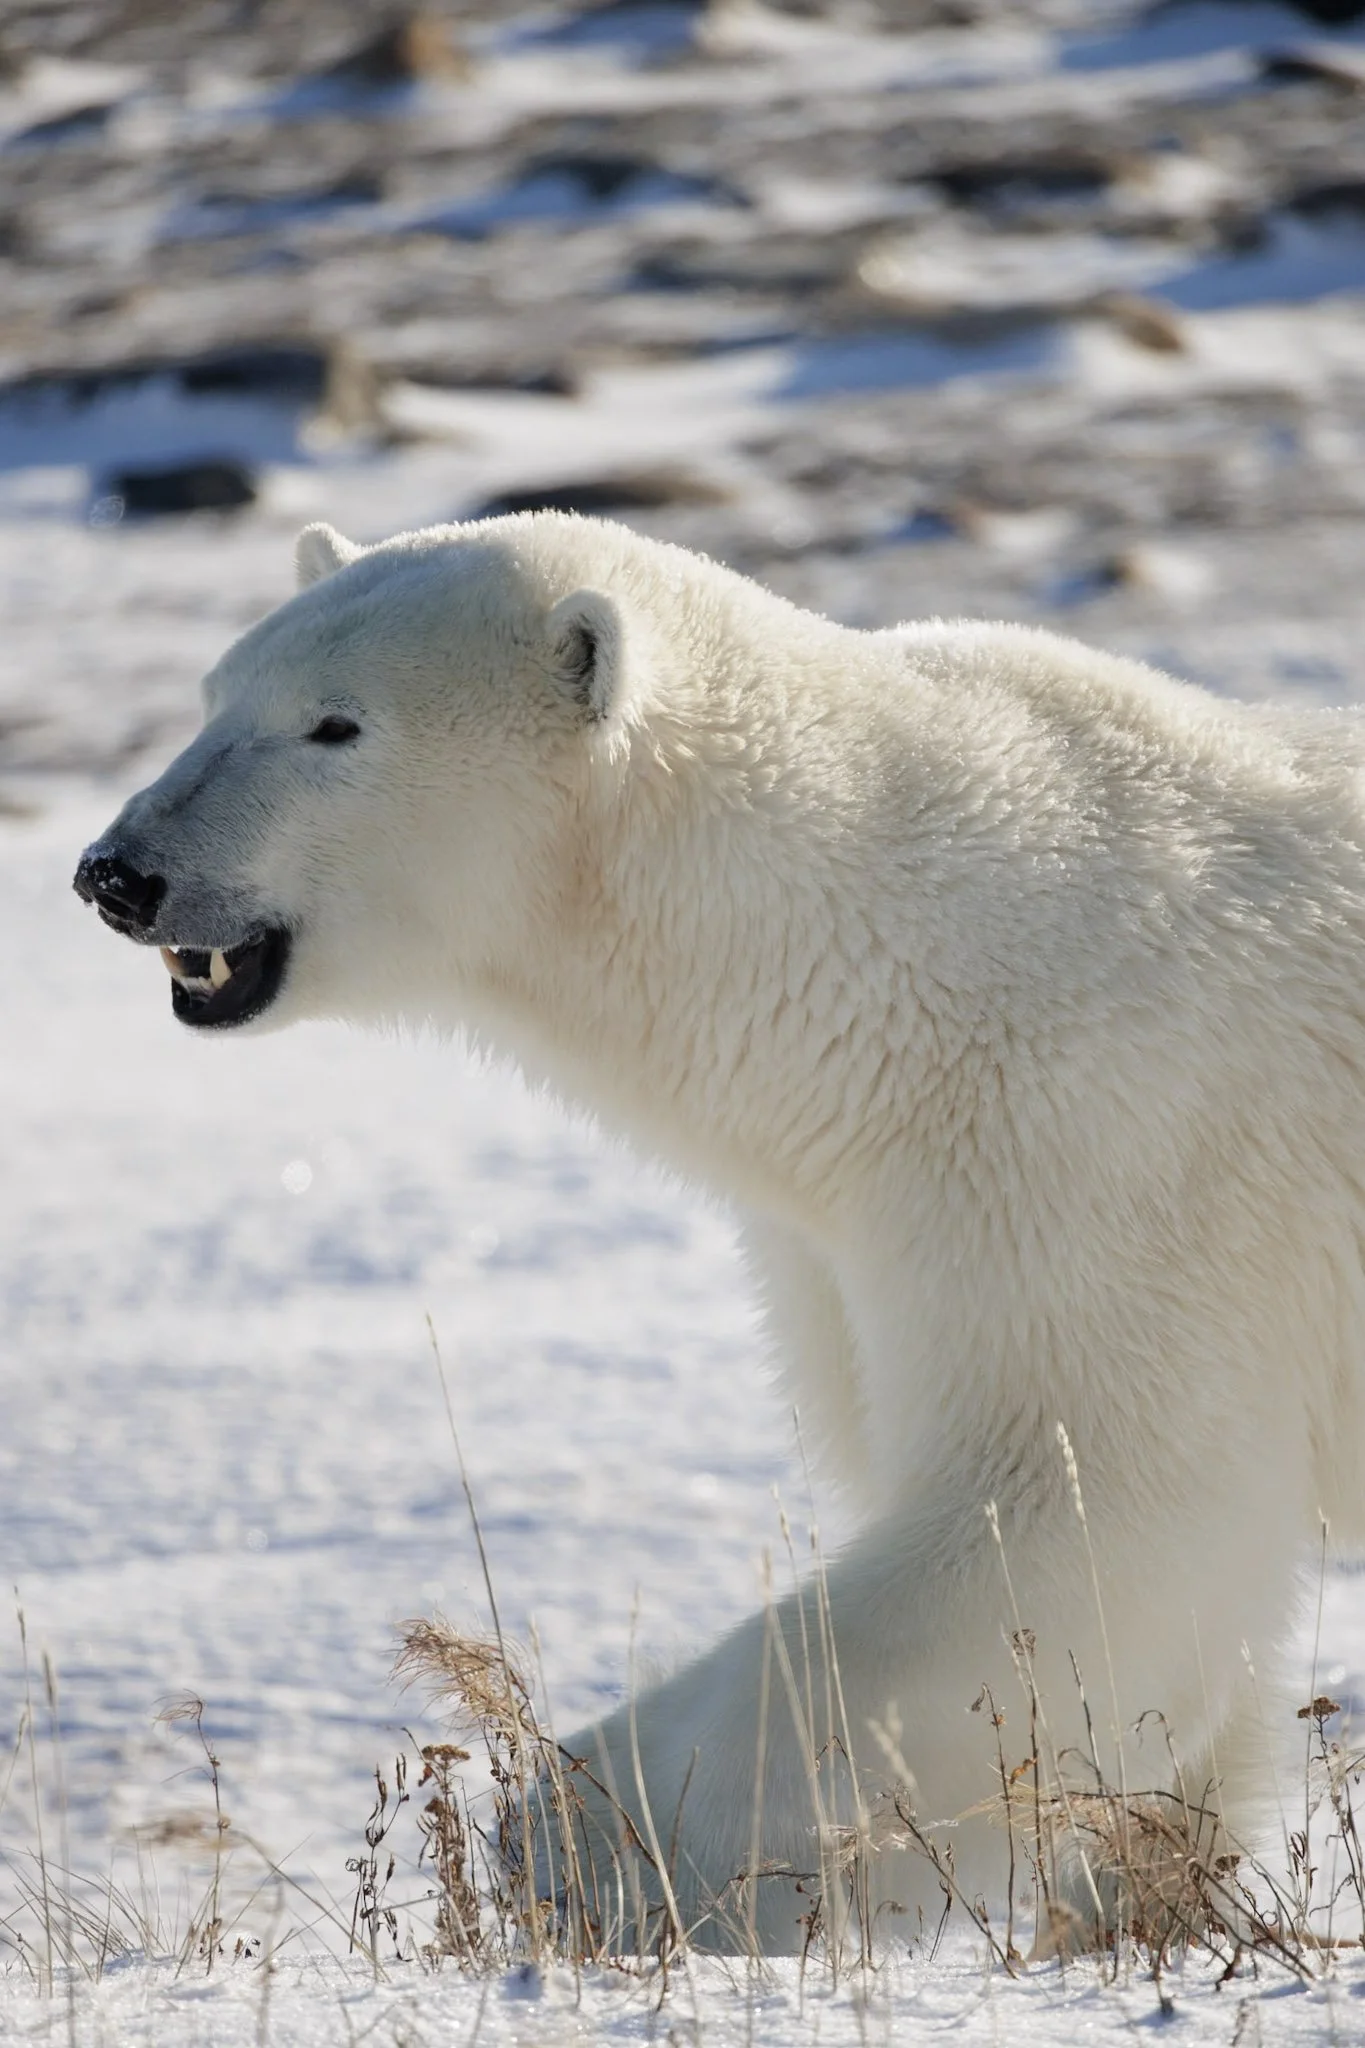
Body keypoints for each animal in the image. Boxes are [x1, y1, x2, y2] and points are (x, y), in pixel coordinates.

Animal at [74, 512, 1365, 1951]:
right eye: (215, 696)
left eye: (334, 724)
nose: (118, 872)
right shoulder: (848, 1238)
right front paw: (1146, 1906)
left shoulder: (1106, 1147)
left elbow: (1084, 1517)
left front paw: (581, 1848)